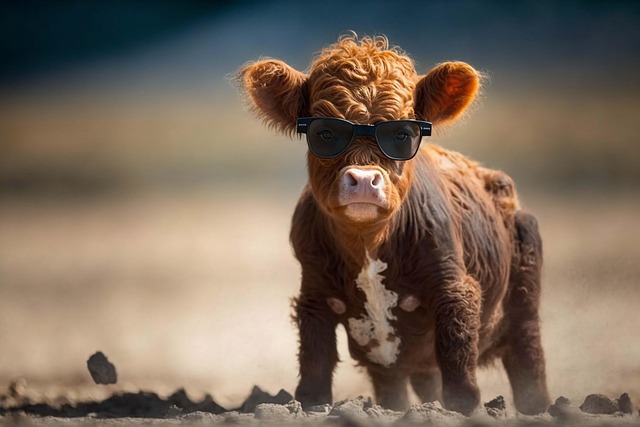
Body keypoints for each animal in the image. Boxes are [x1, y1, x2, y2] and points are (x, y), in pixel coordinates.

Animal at [236, 35, 550, 416]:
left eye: (402, 134)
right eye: (325, 134)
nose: (363, 180)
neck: (369, 247)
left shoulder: (453, 287)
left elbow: (458, 361)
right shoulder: (313, 294)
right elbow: (314, 365)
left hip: (524, 306)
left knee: (528, 362)